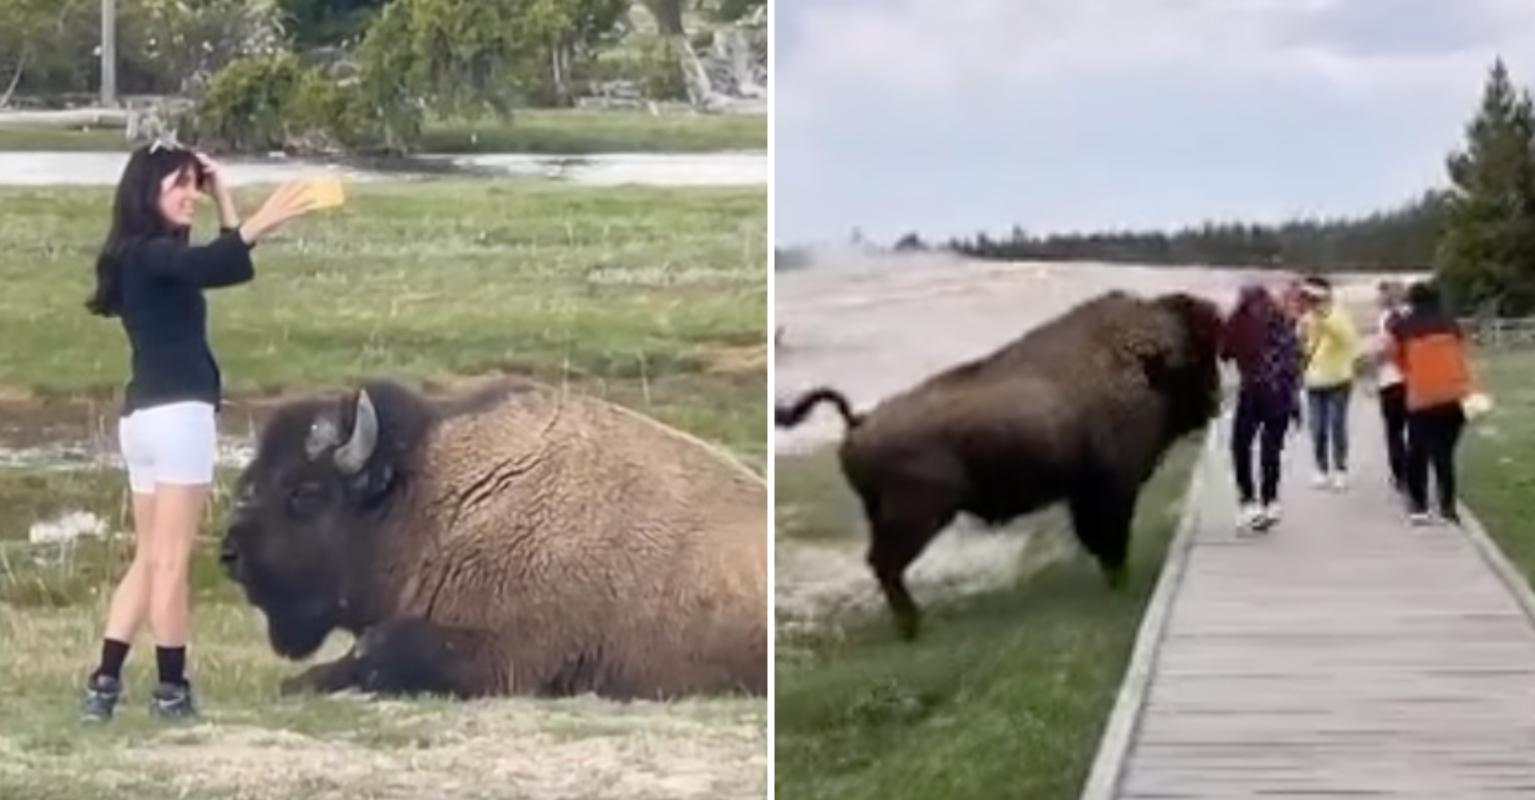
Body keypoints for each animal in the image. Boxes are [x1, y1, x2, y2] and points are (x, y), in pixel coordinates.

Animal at [776, 290, 1224, 640]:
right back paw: (914, 627)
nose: (1217, 402)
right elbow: (1110, 539)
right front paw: (1120, 584)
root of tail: (858, 422)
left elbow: (1100, 540)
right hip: (918, 517)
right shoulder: (1111, 490)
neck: (1143, 360)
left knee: (881, 565)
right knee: (886, 565)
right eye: (1203, 355)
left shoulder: (1087, 494)